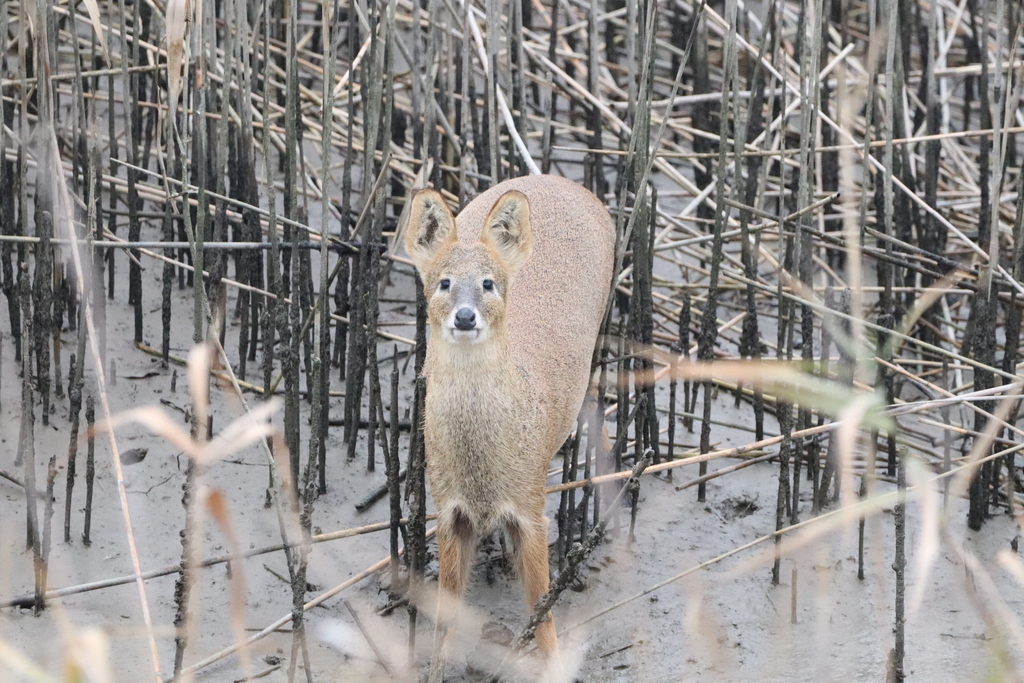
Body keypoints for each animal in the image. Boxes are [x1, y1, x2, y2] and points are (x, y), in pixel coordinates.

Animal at [403, 174, 615, 682]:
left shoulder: (529, 505)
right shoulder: (449, 508)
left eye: (489, 283)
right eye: (443, 281)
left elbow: (543, 611)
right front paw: (435, 669)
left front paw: (557, 668)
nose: (465, 316)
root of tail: (558, 180)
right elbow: (446, 612)